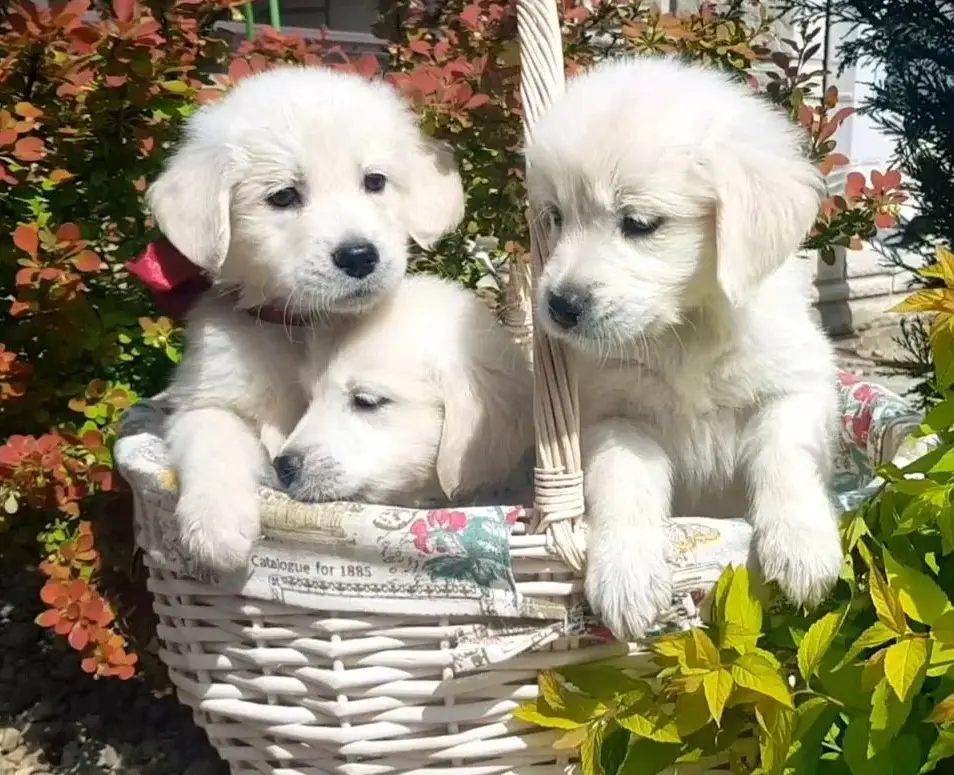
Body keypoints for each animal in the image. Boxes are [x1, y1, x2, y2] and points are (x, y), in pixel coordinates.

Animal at [147, 66, 462, 572]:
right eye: (283, 196)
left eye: (375, 181)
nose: (359, 256)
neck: (303, 325)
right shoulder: (205, 395)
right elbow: (212, 436)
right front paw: (215, 527)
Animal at [524, 57, 844, 644]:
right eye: (555, 215)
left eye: (639, 223)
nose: (560, 304)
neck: (686, 331)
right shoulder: (615, 415)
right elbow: (623, 481)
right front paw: (625, 576)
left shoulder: (796, 385)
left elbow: (785, 455)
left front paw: (802, 547)